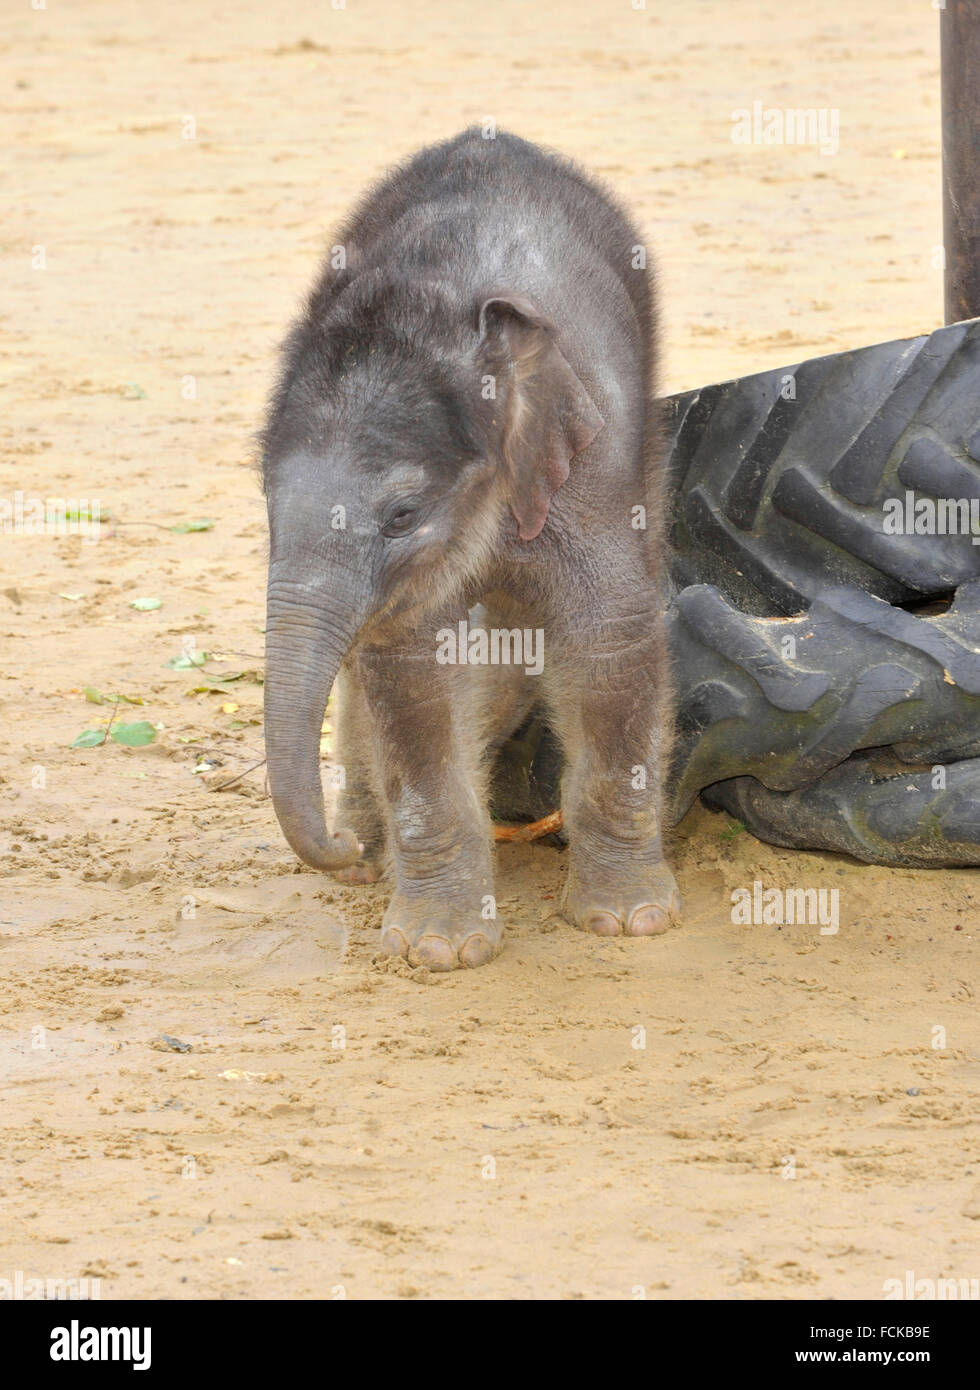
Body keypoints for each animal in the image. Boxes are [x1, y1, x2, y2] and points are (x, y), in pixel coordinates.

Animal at [260, 127, 679, 970]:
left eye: (401, 514)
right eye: (266, 506)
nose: (336, 849)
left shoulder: (590, 463)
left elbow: (610, 633)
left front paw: (627, 922)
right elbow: (412, 672)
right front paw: (438, 950)